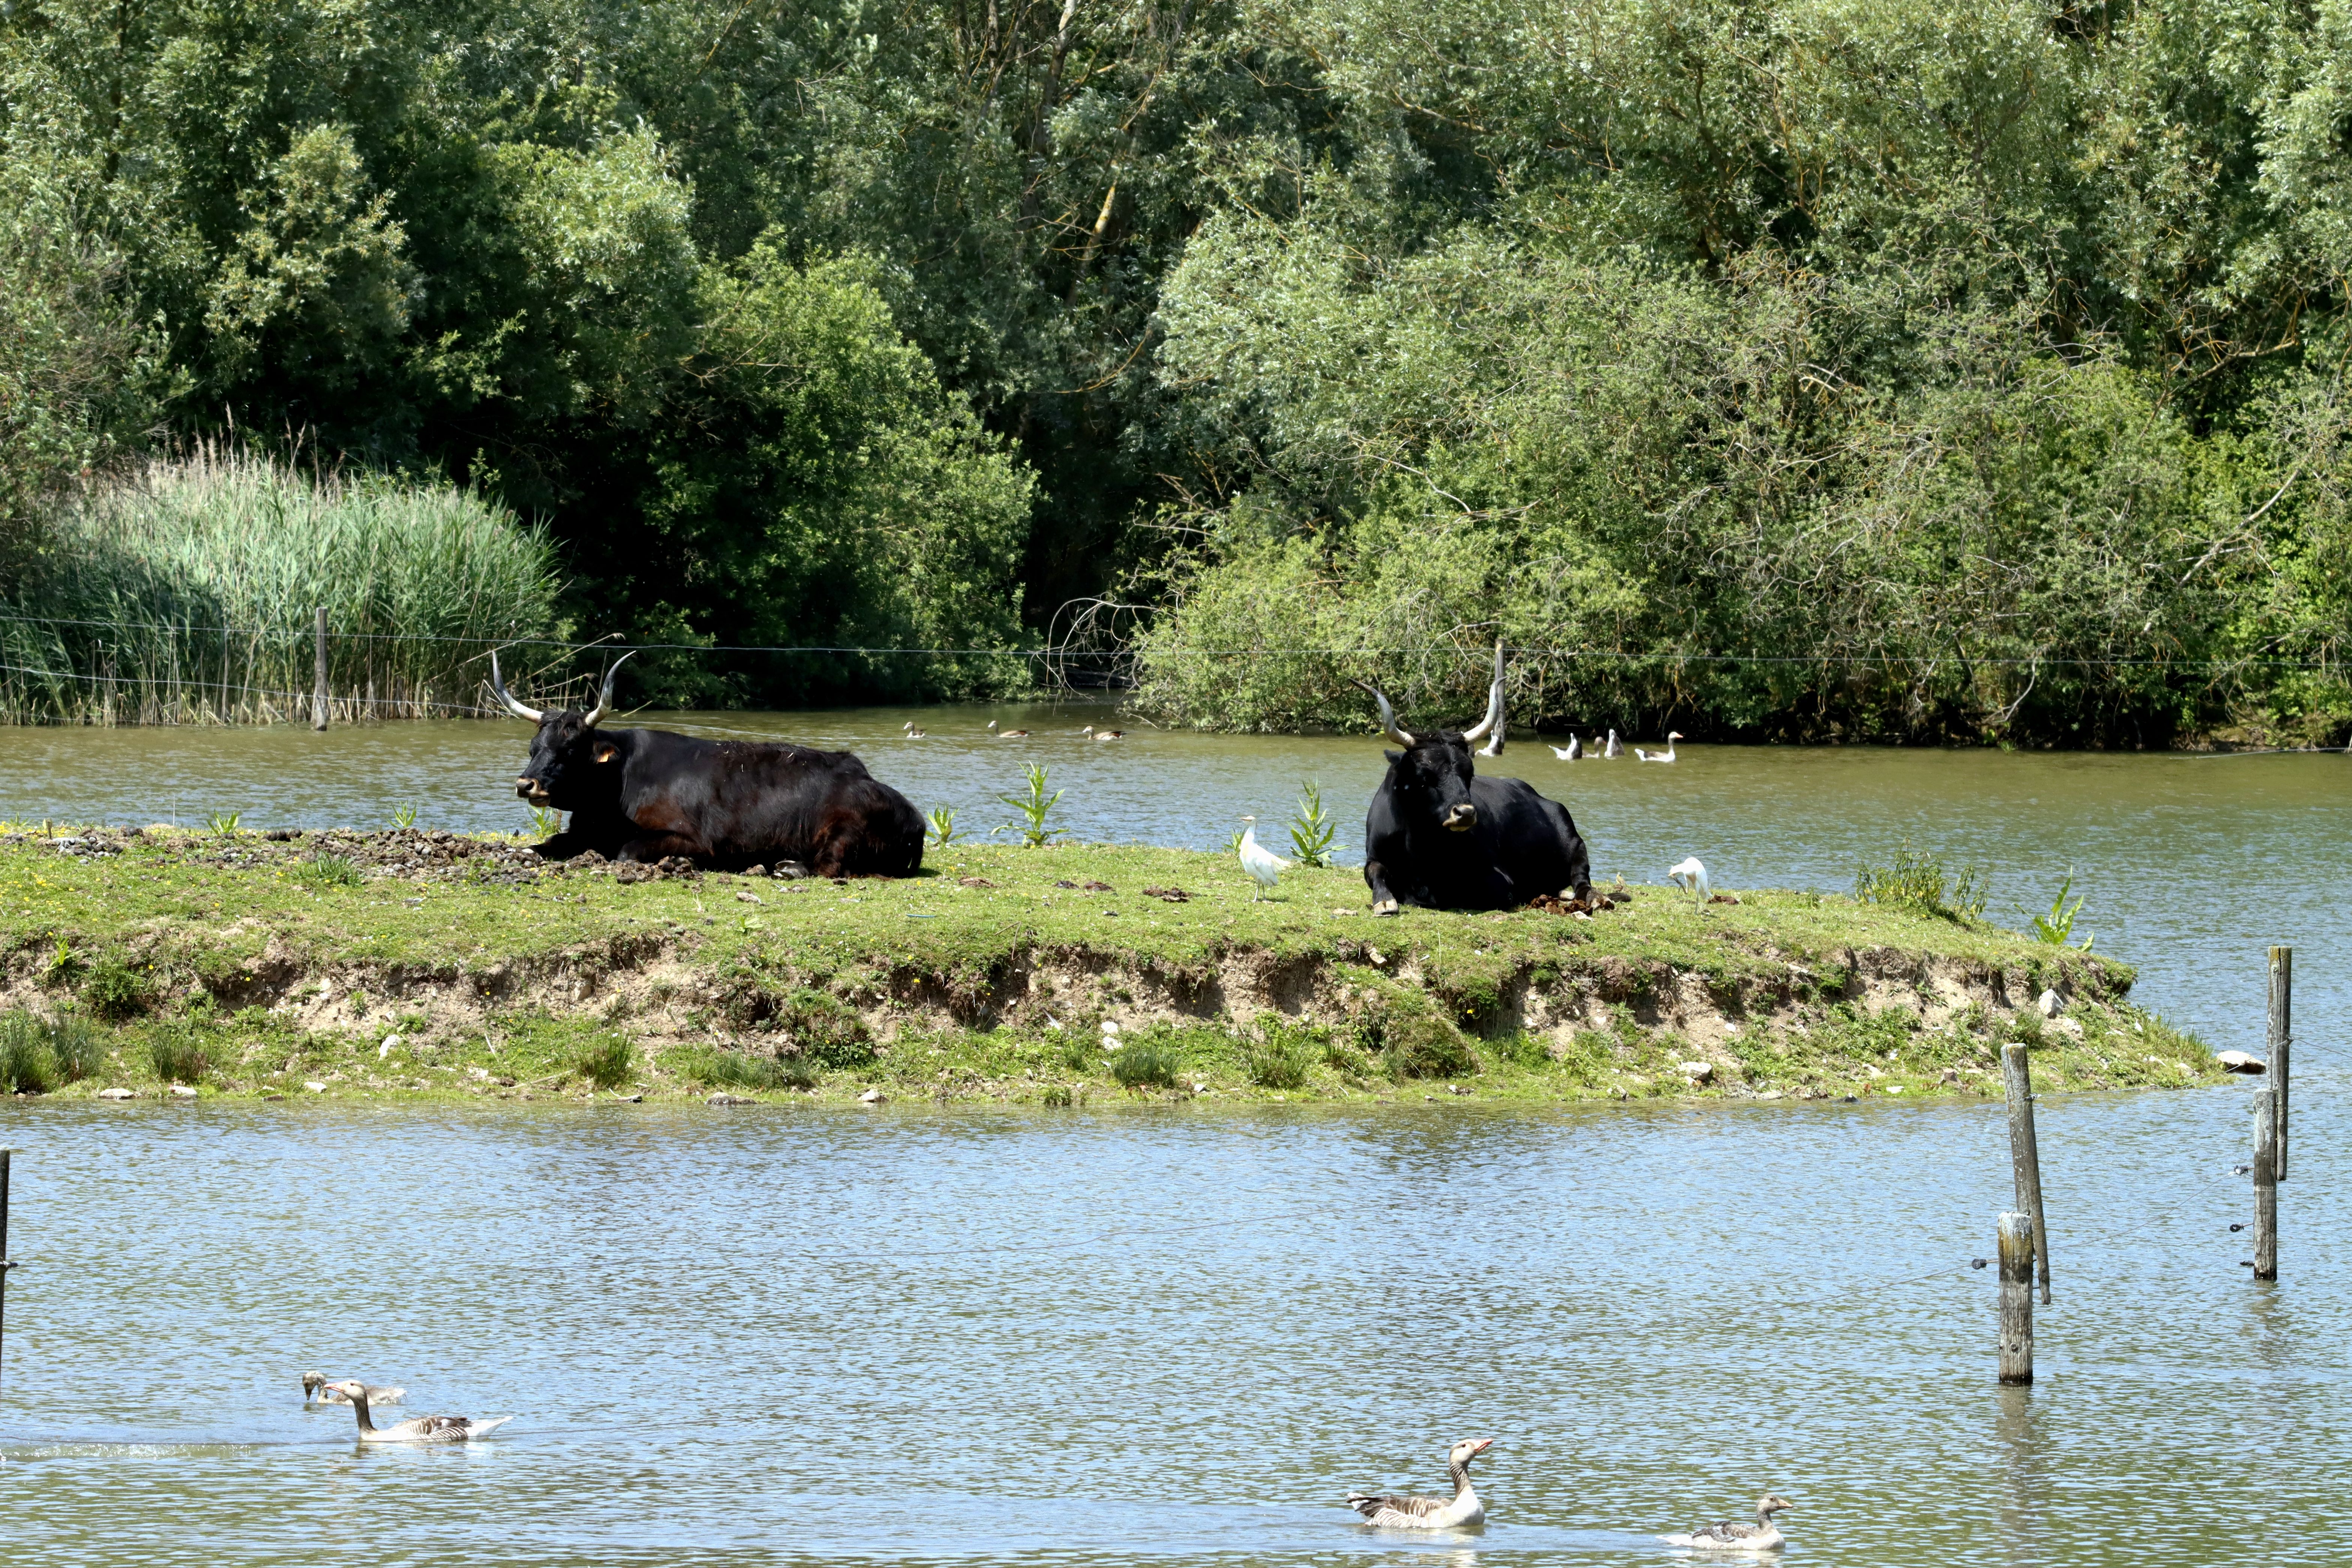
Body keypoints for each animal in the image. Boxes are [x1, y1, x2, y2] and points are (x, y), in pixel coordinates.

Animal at [490, 652, 924, 876]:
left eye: (571, 750)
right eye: (533, 747)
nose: (526, 784)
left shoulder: (695, 838)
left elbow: (628, 852)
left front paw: (678, 862)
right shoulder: (581, 833)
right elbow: (544, 845)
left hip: (843, 831)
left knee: (830, 867)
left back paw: (790, 868)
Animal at [1356, 648, 1594, 915]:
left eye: (1469, 774)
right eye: (1424, 777)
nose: (1466, 813)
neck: (1419, 845)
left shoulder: (1497, 879)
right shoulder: (1374, 856)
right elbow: (1376, 872)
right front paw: (1385, 900)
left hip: (1577, 845)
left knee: (1582, 878)